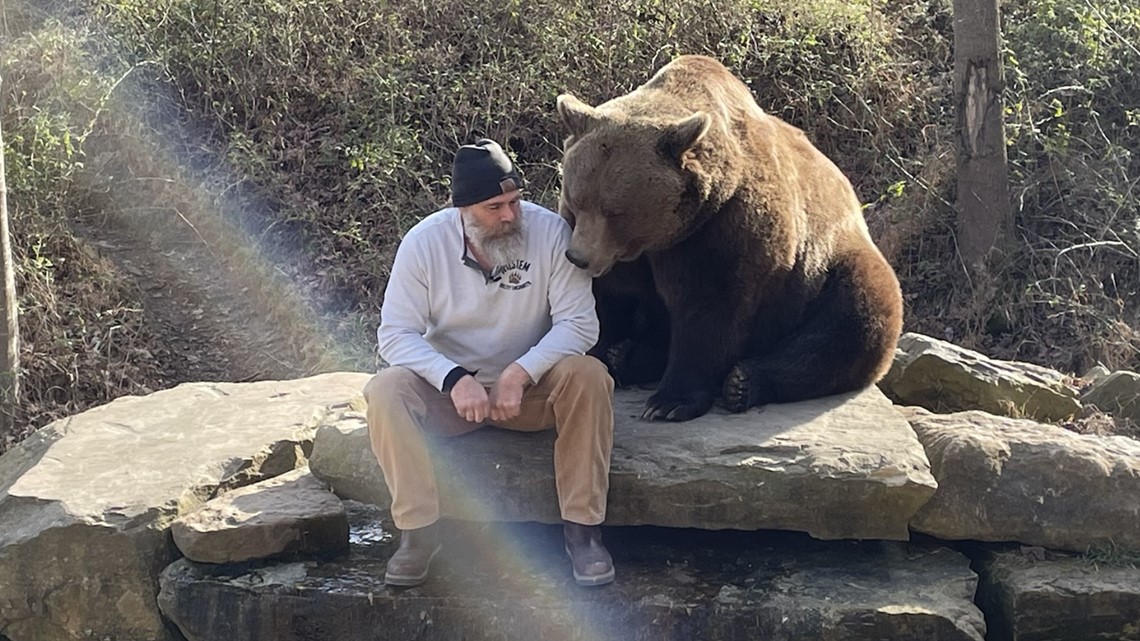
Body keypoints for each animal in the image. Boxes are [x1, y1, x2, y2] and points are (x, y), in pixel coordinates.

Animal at [556, 54, 904, 422]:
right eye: (577, 200)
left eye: (615, 212)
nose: (578, 257)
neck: (657, 240)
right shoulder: (627, 255)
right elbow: (608, 300)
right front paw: (600, 353)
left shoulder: (722, 227)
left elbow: (711, 308)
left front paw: (669, 402)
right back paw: (628, 356)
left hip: (827, 268)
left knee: (851, 321)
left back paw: (744, 381)